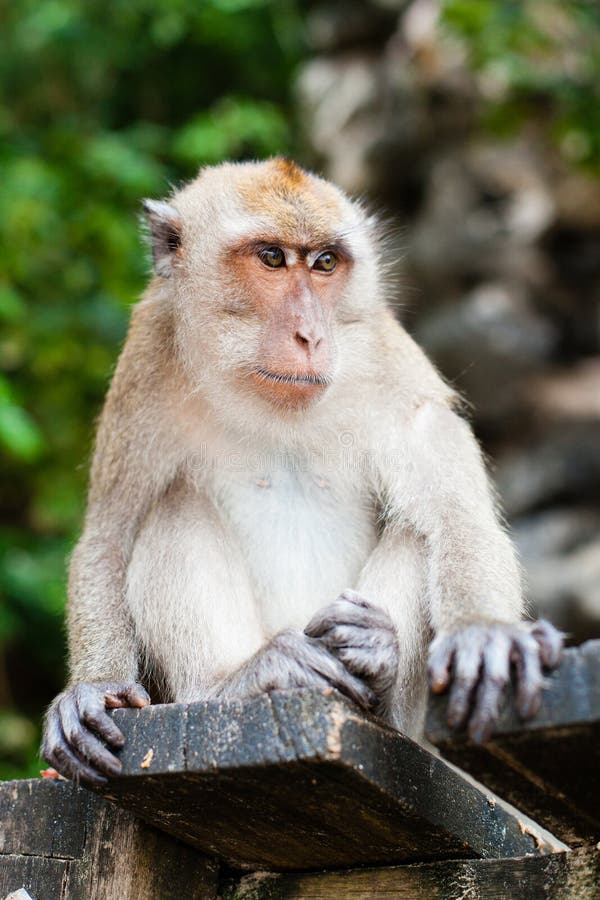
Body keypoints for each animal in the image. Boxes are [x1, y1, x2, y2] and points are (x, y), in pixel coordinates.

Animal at [42, 158, 563, 785]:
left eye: (325, 263)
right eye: (272, 258)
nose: (310, 335)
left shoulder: (391, 367)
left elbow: (456, 516)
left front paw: (482, 633)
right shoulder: (147, 359)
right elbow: (109, 536)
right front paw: (94, 690)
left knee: (419, 528)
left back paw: (379, 665)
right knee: (173, 504)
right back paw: (237, 681)